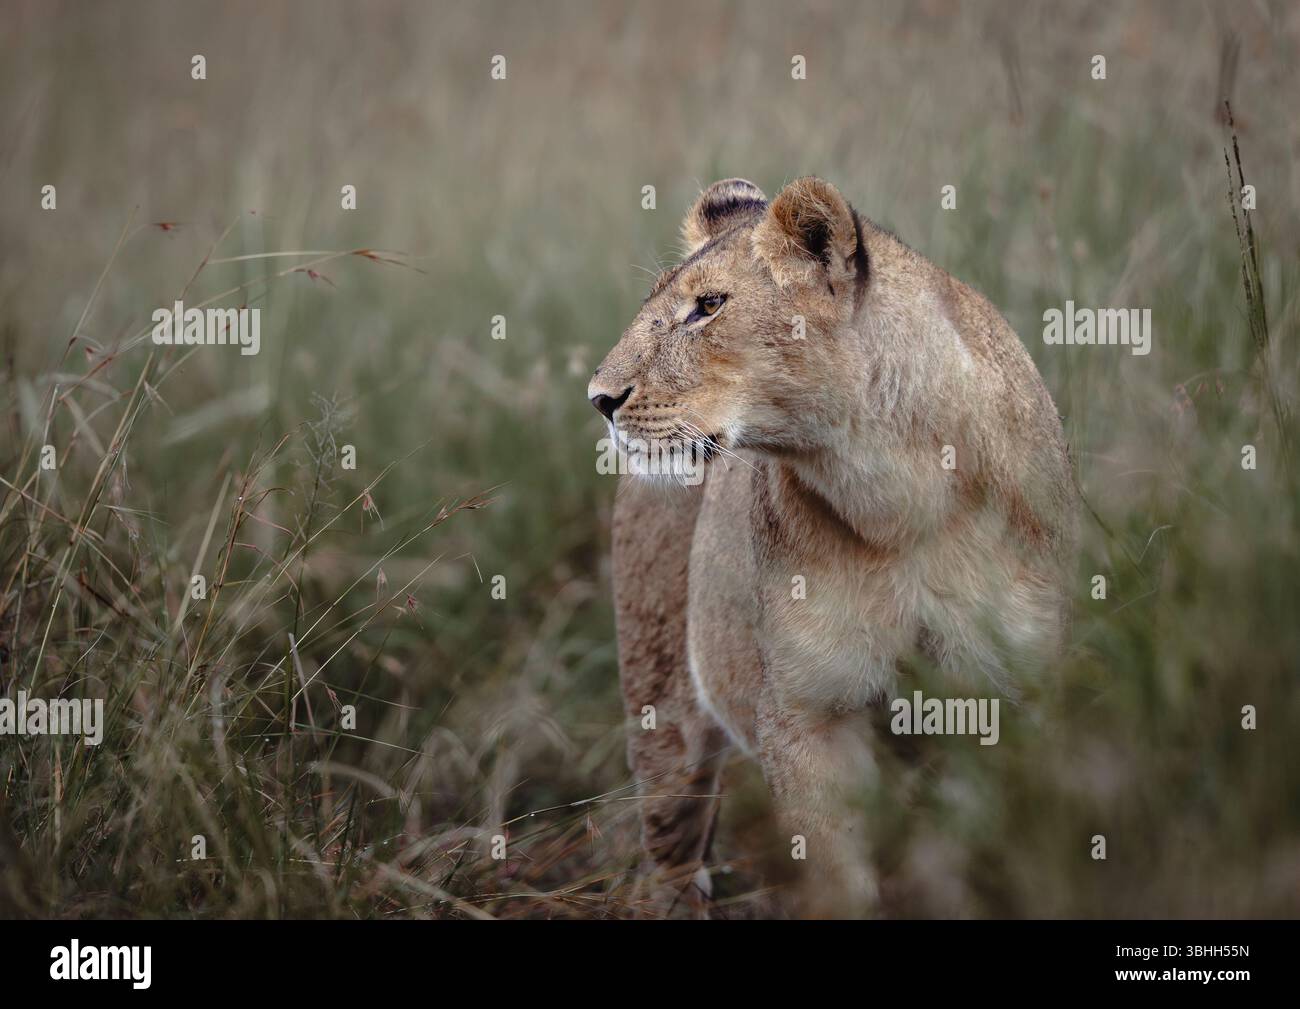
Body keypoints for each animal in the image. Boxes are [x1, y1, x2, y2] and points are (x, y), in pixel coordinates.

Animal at [588, 177, 1076, 917]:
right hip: (661, 711)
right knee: (669, 861)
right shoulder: (806, 713)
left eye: (708, 307)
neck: (896, 495)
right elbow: (836, 878)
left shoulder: (1008, 692)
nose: (600, 399)